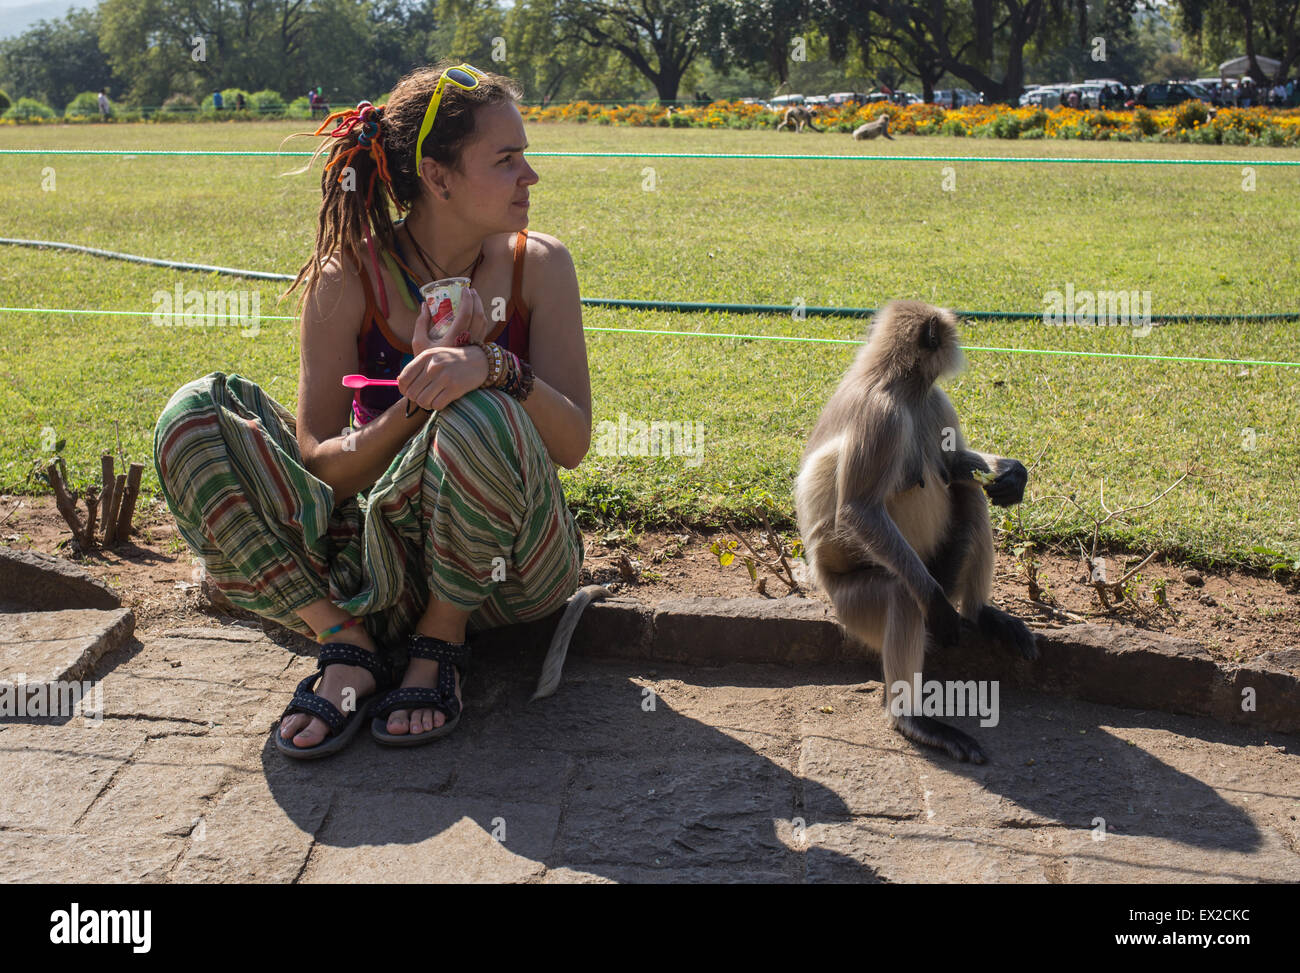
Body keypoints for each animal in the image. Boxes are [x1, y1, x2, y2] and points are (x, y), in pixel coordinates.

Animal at [793, 300, 1036, 763]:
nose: (961, 343)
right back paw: (912, 719)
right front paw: (938, 607)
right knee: (901, 594)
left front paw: (1012, 474)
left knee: (967, 490)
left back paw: (979, 613)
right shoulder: (881, 414)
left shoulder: (933, 398)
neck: (898, 383)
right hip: (851, 601)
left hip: (942, 565)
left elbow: (957, 460)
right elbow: (858, 511)